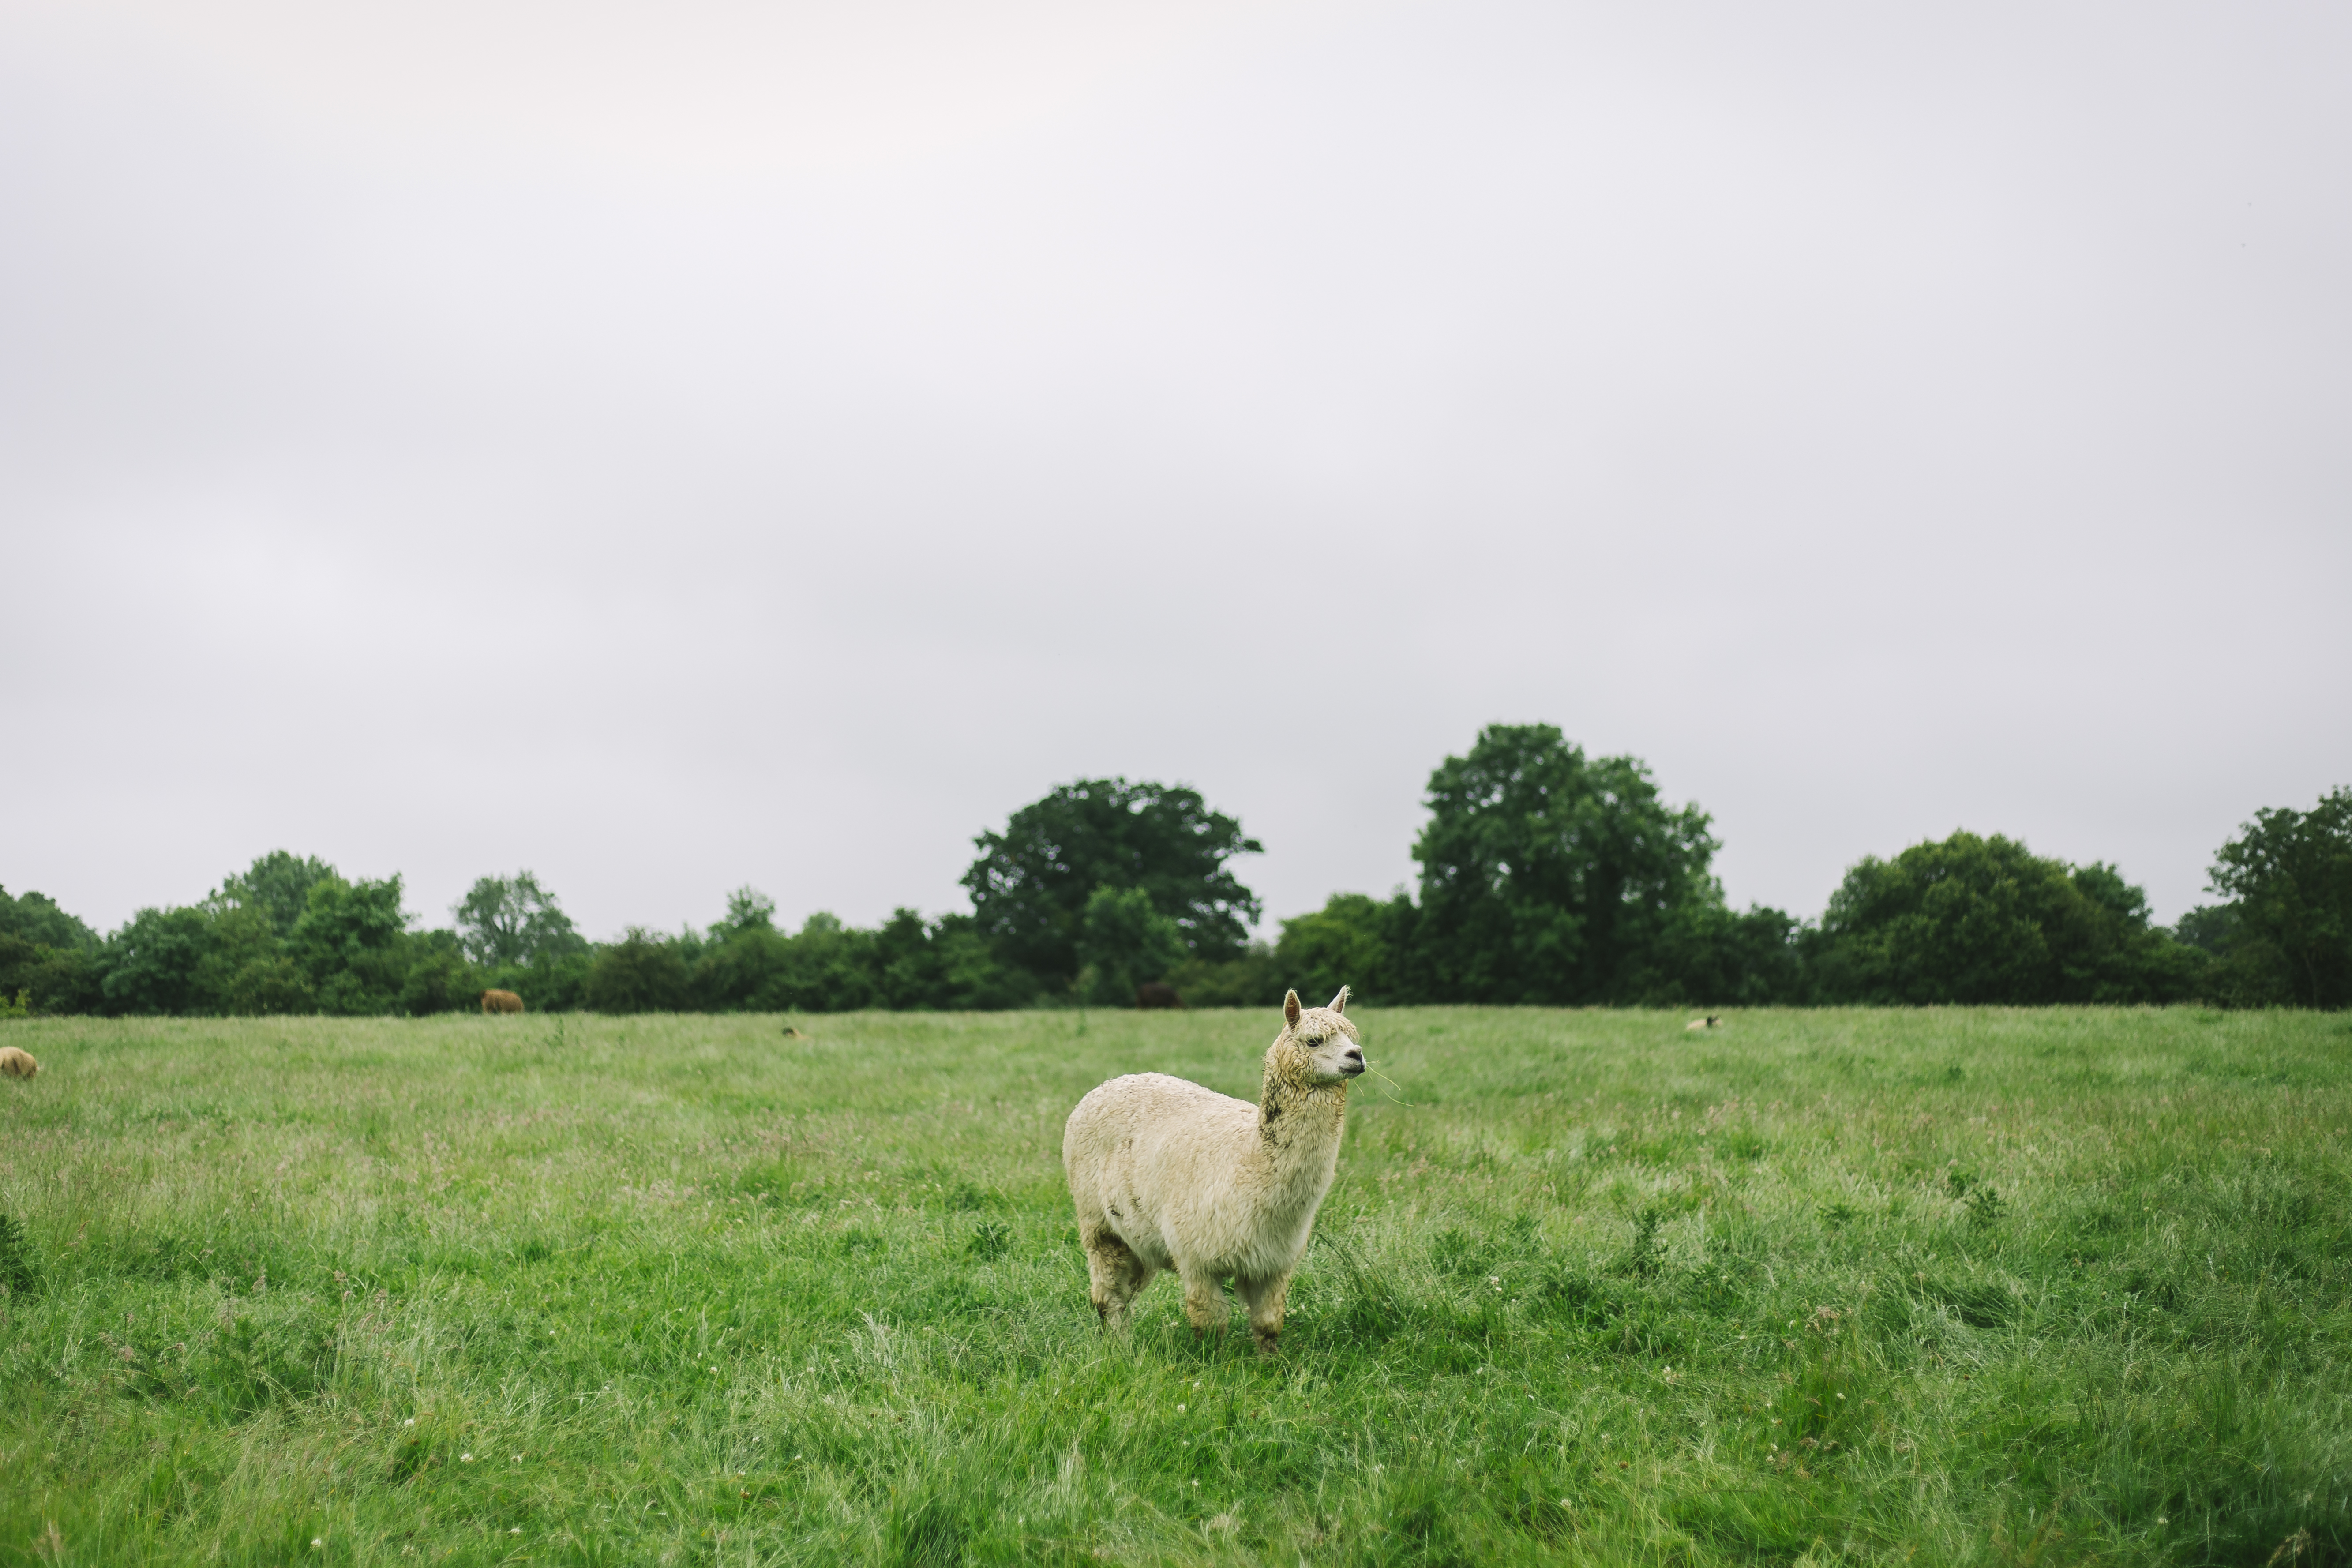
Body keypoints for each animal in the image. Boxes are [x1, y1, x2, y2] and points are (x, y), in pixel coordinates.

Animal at [1063, 985, 1364, 1353]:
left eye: (1353, 1037)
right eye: (1314, 1040)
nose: (1356, 1057)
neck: (1248, 1162)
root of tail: (1110, 1083)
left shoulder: (1273, 1263)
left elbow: (1268, 1324)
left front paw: (1271, 1363)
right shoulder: (1195, 1258)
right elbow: (1209, 1323)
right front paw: (1211, 1363)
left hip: (1138, 1236)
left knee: (1126, 1291)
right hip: (1098, 1222)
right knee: (1109, 1296)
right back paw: (1119, 1349)